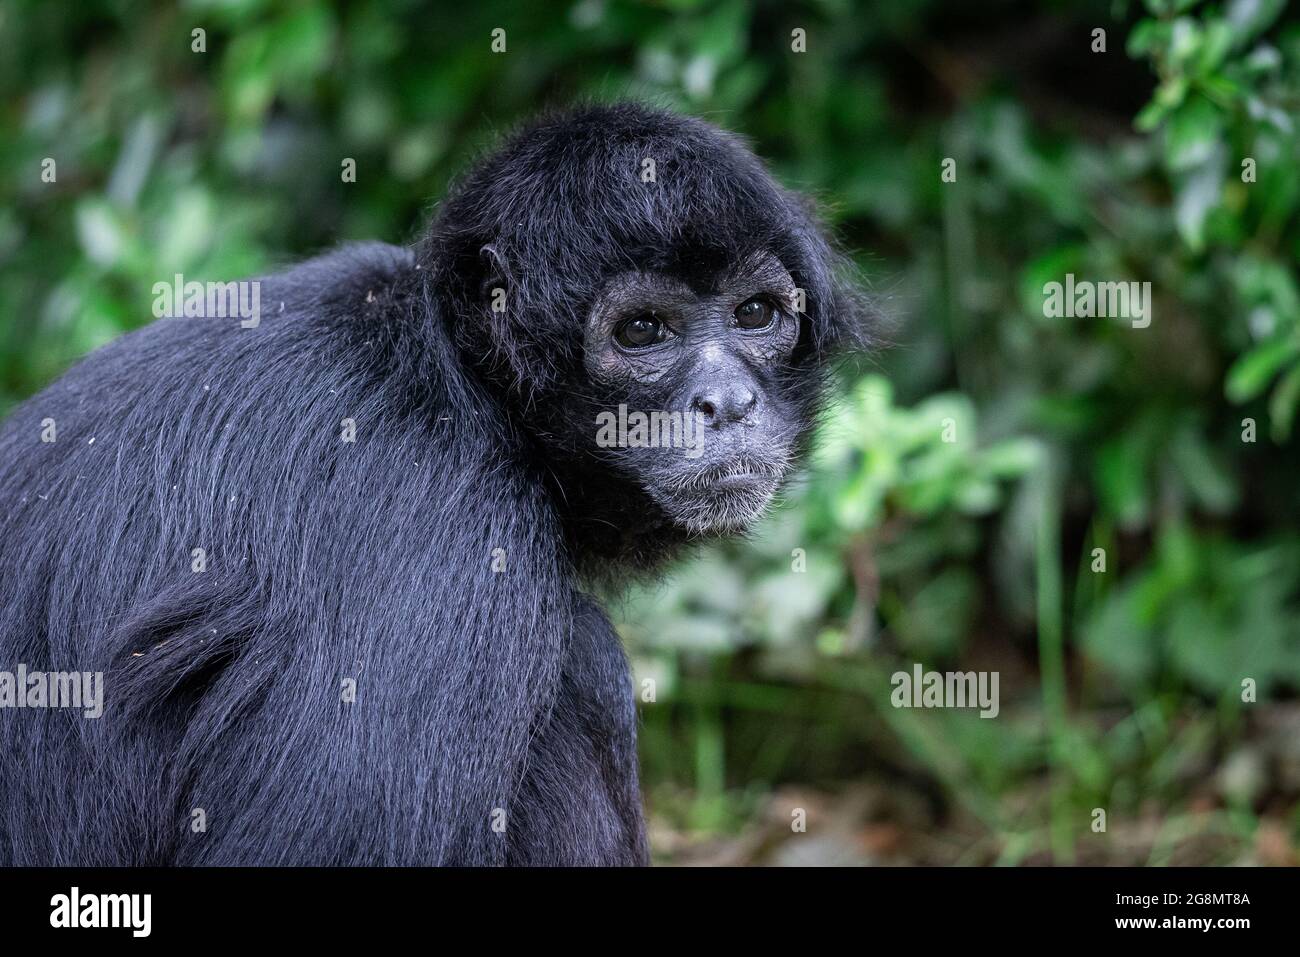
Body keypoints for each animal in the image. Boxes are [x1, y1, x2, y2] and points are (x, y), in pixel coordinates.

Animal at [0, 102, 869, 865]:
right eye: (642, 330)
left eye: (754, 314)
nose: (727, 401)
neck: (454, 375)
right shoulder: (442, 525)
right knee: (583, 664)